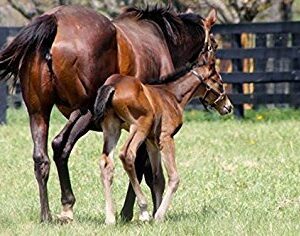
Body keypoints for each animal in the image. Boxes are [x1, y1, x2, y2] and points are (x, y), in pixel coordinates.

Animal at [0, 5, 217, 223]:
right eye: (213, 46)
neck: (161, 36)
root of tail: (54, 20)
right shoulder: (146, 126)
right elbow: (143, 167)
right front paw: (137, 211)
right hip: (86, 112)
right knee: (65, 147)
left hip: (39, 112)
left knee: (47, 154)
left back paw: (51, 213)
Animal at [93, 50, 232, 224]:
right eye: (219, 82)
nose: (228, 107)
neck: (172, 95)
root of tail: (113, 85)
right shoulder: (166, 137)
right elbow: (174, 177)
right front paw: (159, 215)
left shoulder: (152, 141)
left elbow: (158, 179)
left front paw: (157, 211)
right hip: (140, 125)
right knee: (127, 154)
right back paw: (143, 210)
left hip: (112, 128)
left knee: (105, 163)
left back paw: (110, 217)